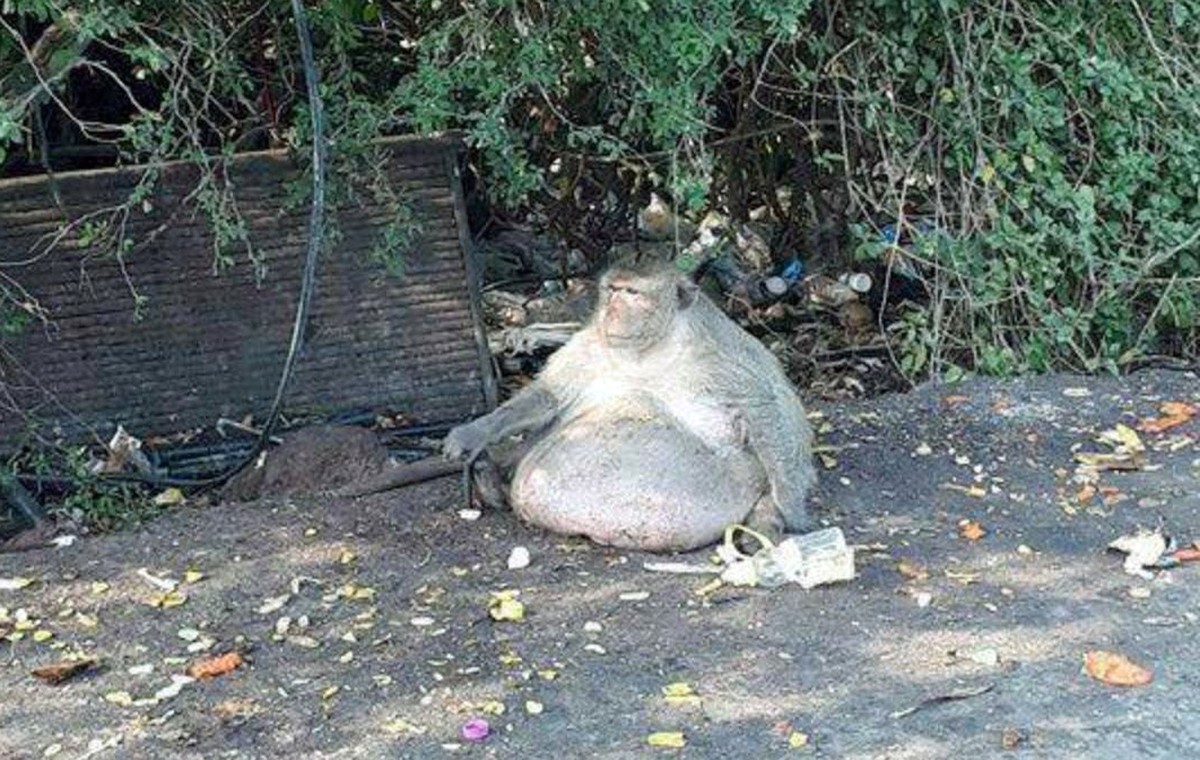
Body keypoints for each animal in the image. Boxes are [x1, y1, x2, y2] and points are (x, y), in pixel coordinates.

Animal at [443, 260, 816, 552]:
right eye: (611, 290)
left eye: (632, 294)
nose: (612, 311)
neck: (649, 348)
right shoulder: (591, 343)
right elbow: (549, 396)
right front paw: (472, 434)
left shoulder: (713, 359)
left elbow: (761, 404)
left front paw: (787, 511)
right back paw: (491, 477)